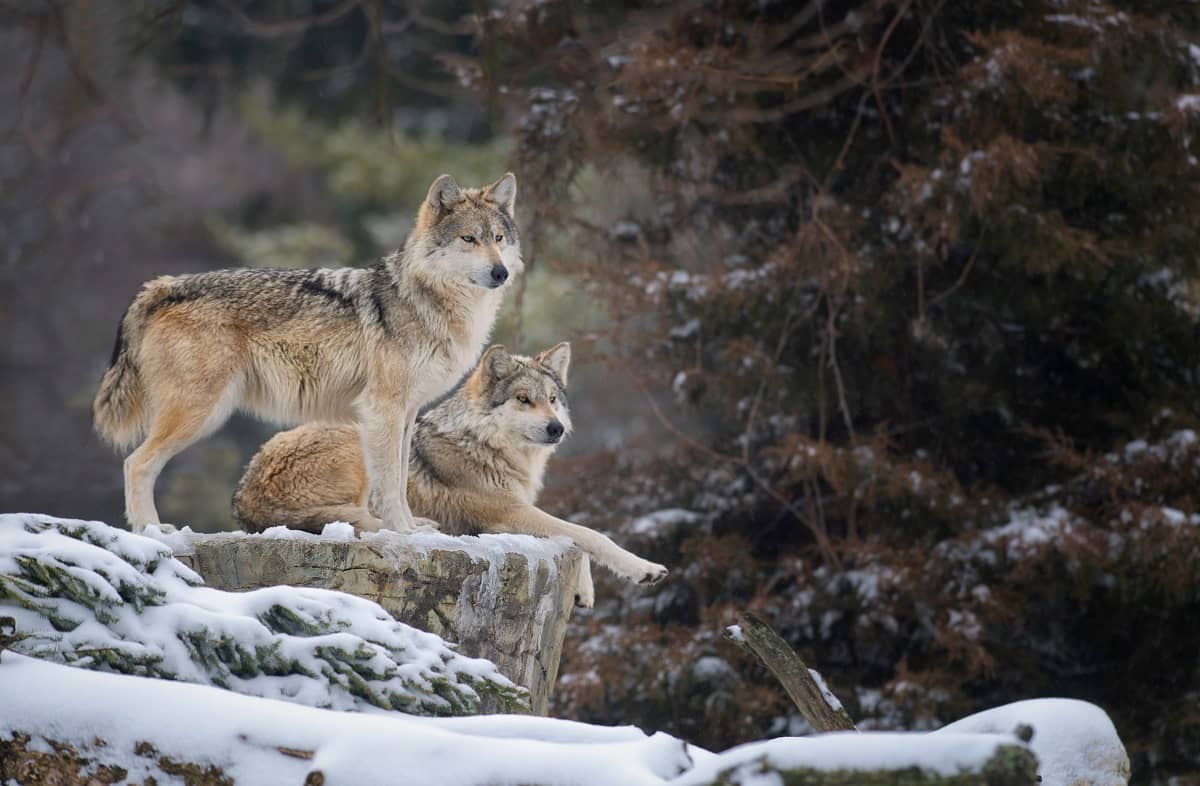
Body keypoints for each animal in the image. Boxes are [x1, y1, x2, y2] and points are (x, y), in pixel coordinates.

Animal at [94, 173, 521, 533]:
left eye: (499, 238)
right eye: (468, 239)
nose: (501, 273)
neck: (430, 302)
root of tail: (165, 285)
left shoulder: (407, 412)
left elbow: (400, 480)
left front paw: (413, 528)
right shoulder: (383, 408)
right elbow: (388, 485)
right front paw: (402, 532)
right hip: (201, 412)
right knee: (136, 463)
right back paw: (151, 530)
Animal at [232, 343, 669, 605]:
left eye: (551, 400)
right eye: (523, 399)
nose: (556, 428)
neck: (486, 445)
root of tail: (244, 496)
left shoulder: (516, 513)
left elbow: (574, 535)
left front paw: (583, 591)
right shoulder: (507, 513)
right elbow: (588, 534)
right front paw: (645, 569)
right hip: (362, 442)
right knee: (369, 522)